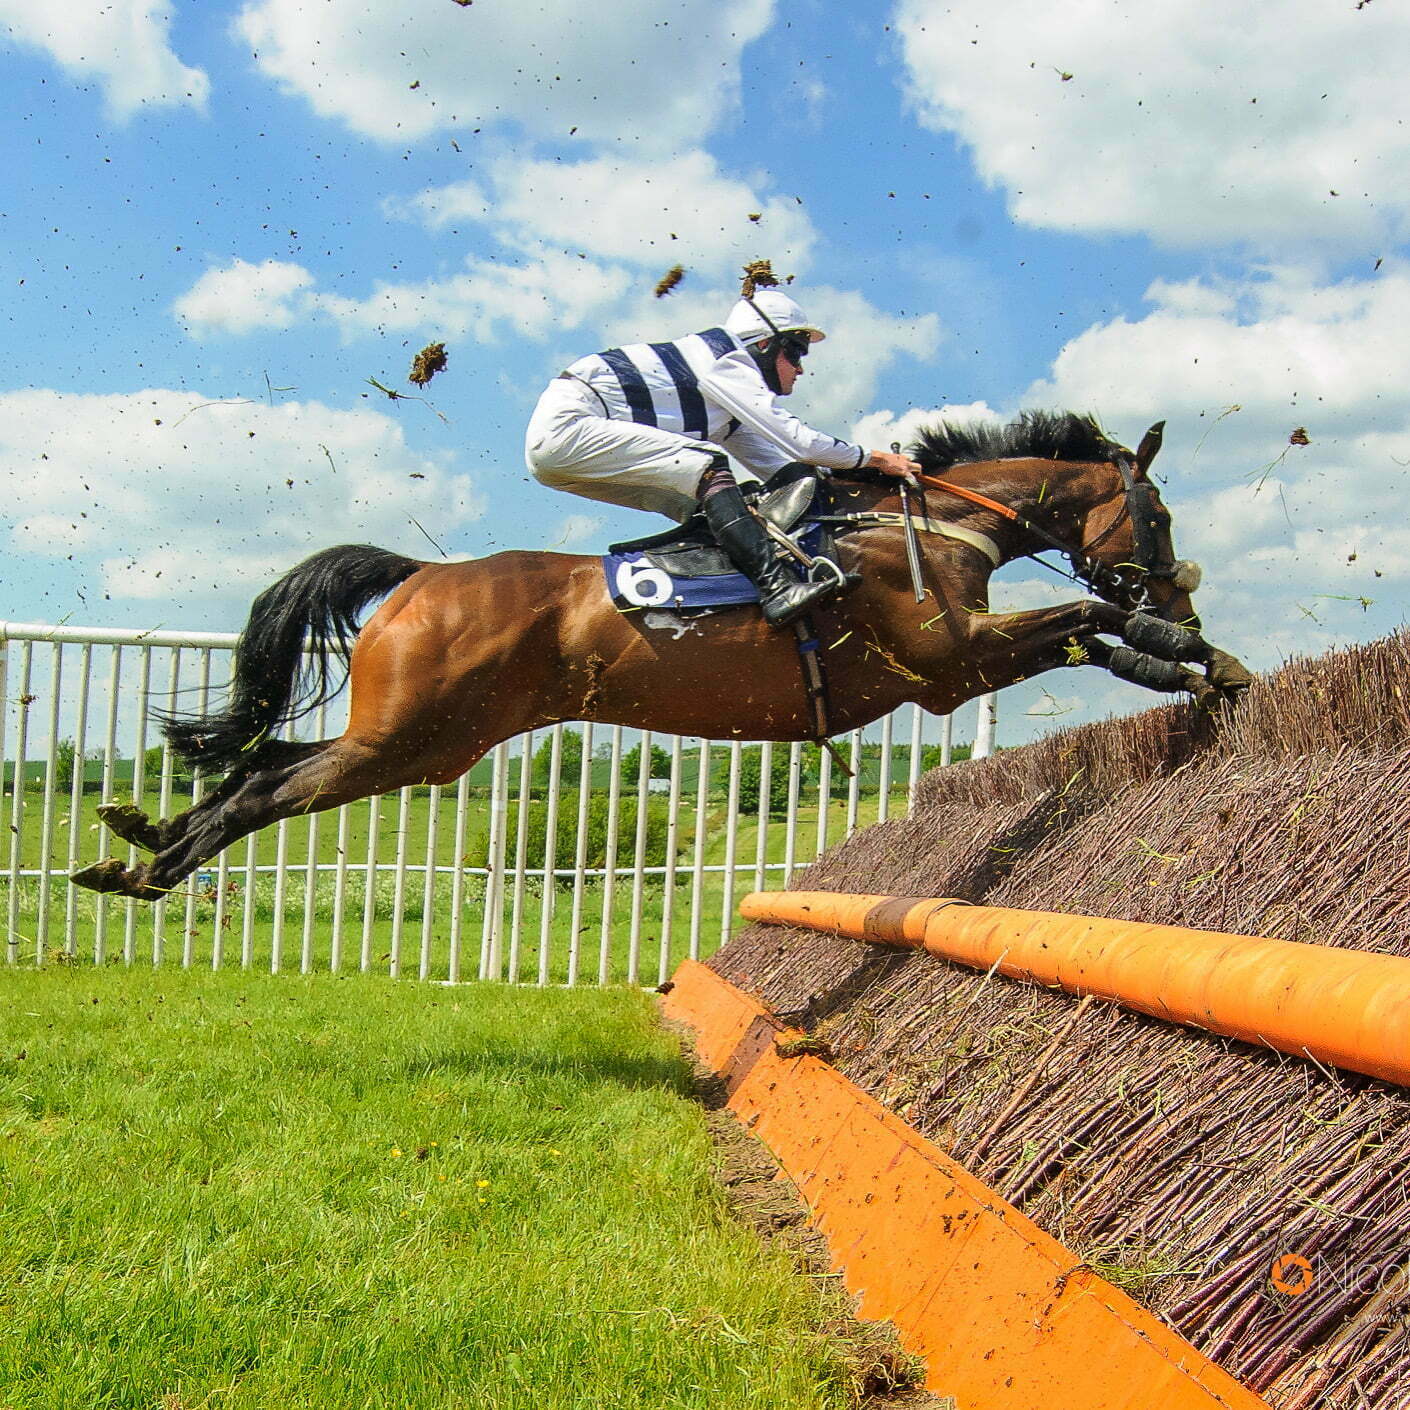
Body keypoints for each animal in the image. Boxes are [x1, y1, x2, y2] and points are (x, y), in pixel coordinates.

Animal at [72, 411, 1251, 903]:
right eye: (1158, 516)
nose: (1180, 586)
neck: (916, 527)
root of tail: (417, 578)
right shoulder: (949, 660)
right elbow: (1079, 623)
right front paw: (1194, 653)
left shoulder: (959, 664)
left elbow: (1086, 631)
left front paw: (1193, 660)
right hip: (411, 739)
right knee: (268, 786)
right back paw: (149, 867)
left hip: (425, 741)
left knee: (269, 763)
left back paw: (141, 836)